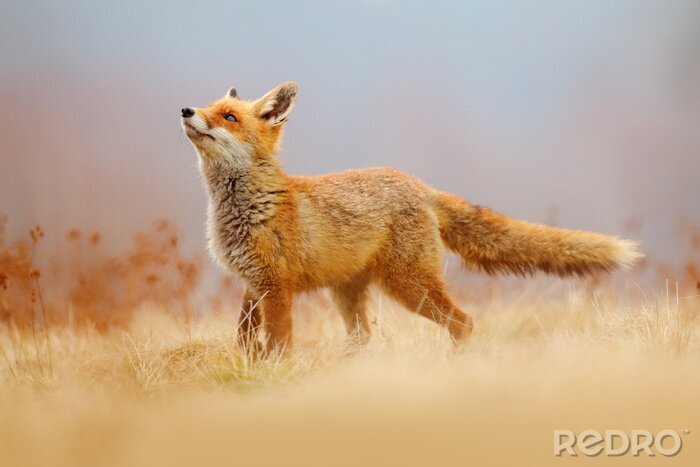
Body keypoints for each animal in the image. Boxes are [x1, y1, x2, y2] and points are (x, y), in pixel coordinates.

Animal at [183, 81, 644, 354]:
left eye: (229, 117)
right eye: (208, 106)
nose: (187, 110)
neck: (248, 208)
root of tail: (417, 183)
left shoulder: (276, 286)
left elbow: (279, 341)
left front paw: (277, 371)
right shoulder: (252, 283)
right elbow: (244, 337)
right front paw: (249, 365)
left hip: (408, 285)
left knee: (464, 322)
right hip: (349, 292)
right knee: (364, 337)